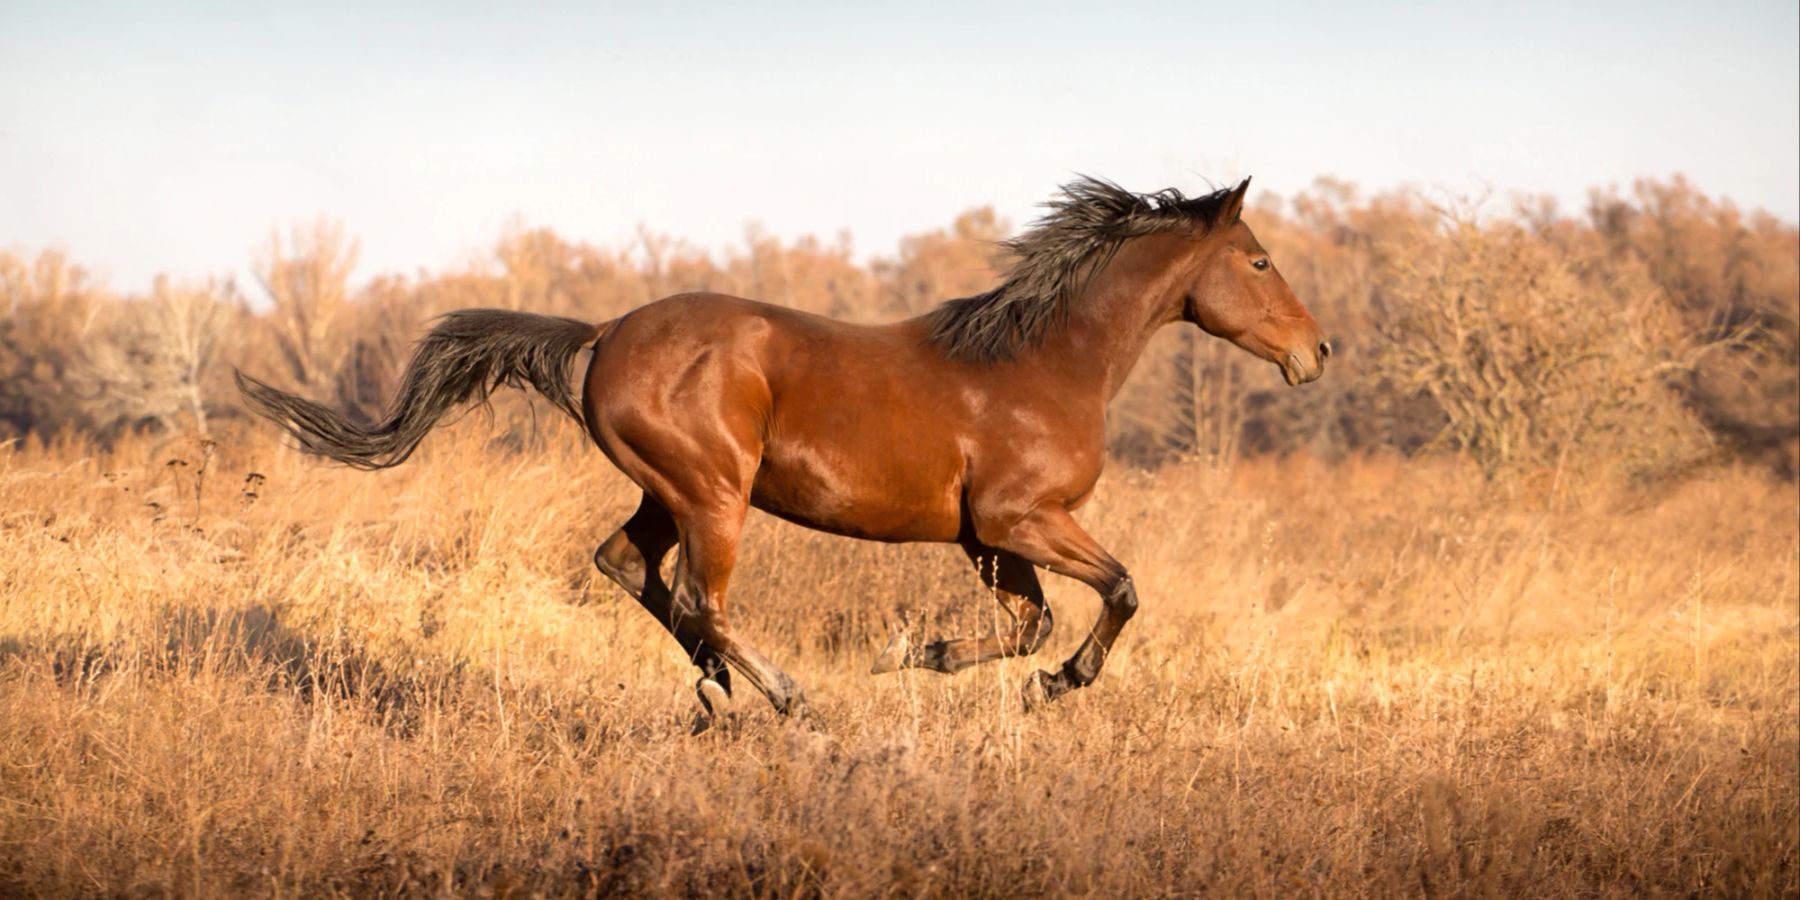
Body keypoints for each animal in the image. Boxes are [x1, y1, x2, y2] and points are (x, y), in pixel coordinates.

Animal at [237, 176, 1330, 725]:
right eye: (1259, 260)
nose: (1315, 352)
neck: (1042, 363)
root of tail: (606, 332)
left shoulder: (991, 537)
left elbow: (1027, 623)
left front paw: (927, 655)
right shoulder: (1025, 519)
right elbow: (1120, 591)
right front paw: (1056, 683)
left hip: (671, 492)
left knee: (627, 567)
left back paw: (717, 692)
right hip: (713, 495)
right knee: (699, 599)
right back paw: (782, 697)